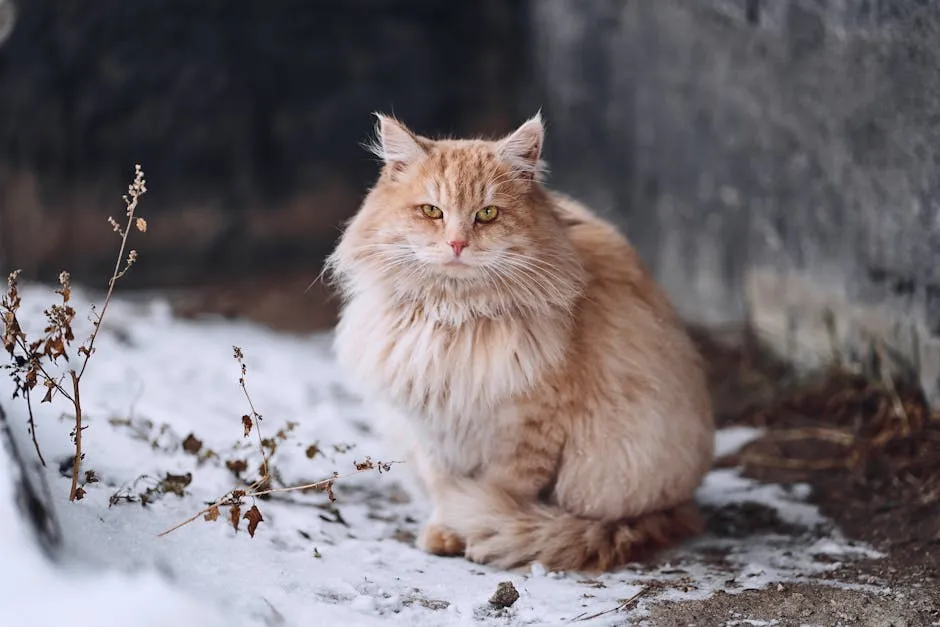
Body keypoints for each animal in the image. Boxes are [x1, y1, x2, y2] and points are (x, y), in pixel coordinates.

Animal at [326, 113, 716, 576]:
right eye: (432, 211)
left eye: (487, 213)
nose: (457, 244)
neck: (456, 319)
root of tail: (684, 502)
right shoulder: (432, 426)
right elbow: (444, 488)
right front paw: (445, 532)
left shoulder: (527, 430)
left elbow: (498, 494)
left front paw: (479, 532)